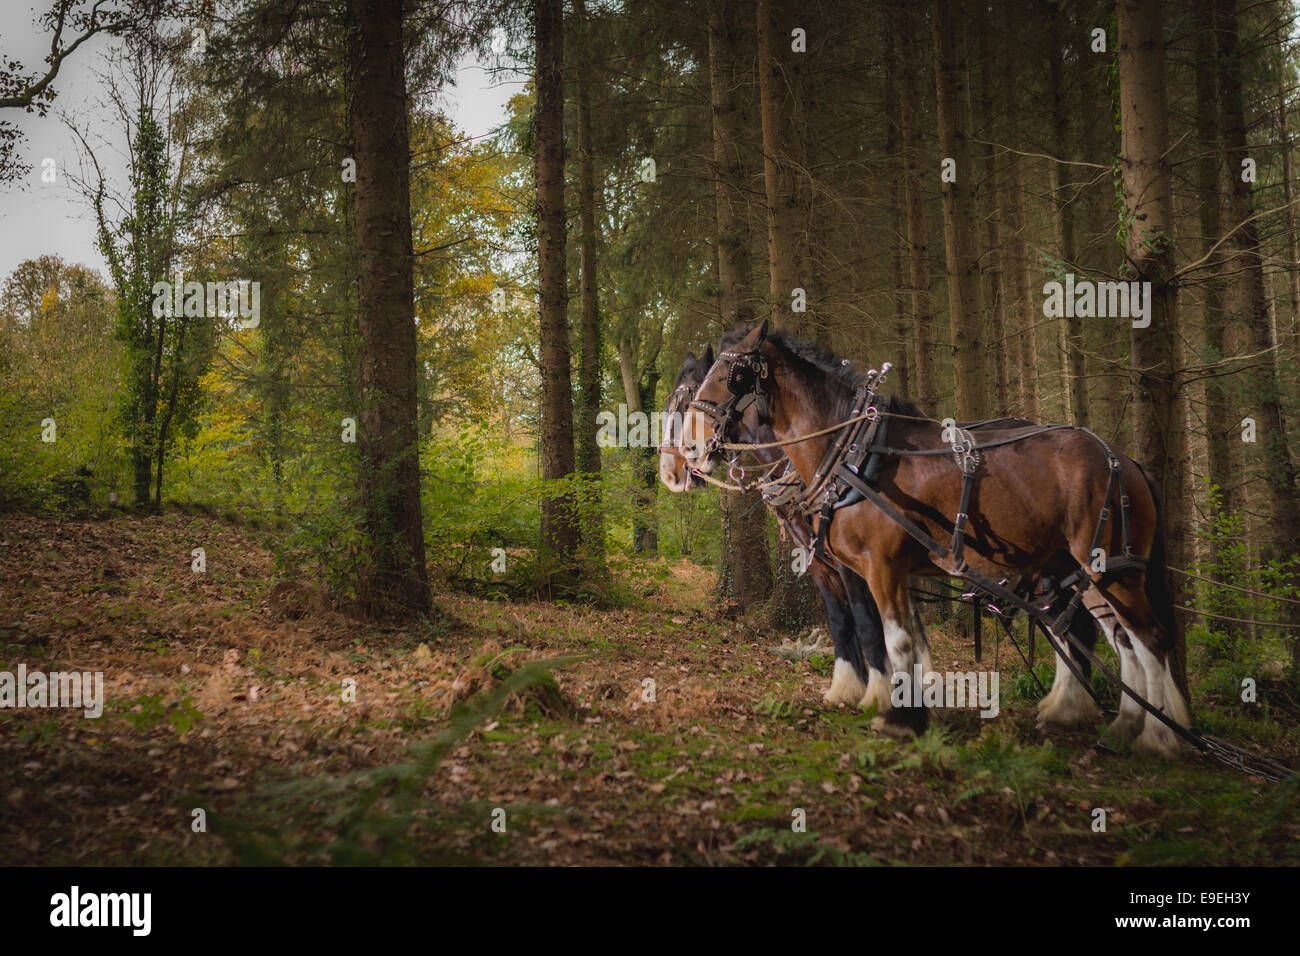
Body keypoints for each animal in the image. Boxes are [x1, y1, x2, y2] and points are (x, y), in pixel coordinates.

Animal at [682, 321, 1190, 757]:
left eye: (728, 376)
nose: (689, 448)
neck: (852, 453)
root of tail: (1123, 458)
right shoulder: (892, 570)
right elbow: (911, 638)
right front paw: (917, 709)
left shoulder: (878, 566)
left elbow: (892, 638)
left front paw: (895, 718)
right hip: (1086, 573)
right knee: (1120, 640)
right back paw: (1121, 726)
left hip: (1109, 569)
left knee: (1148, 639)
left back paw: (1158, 737)